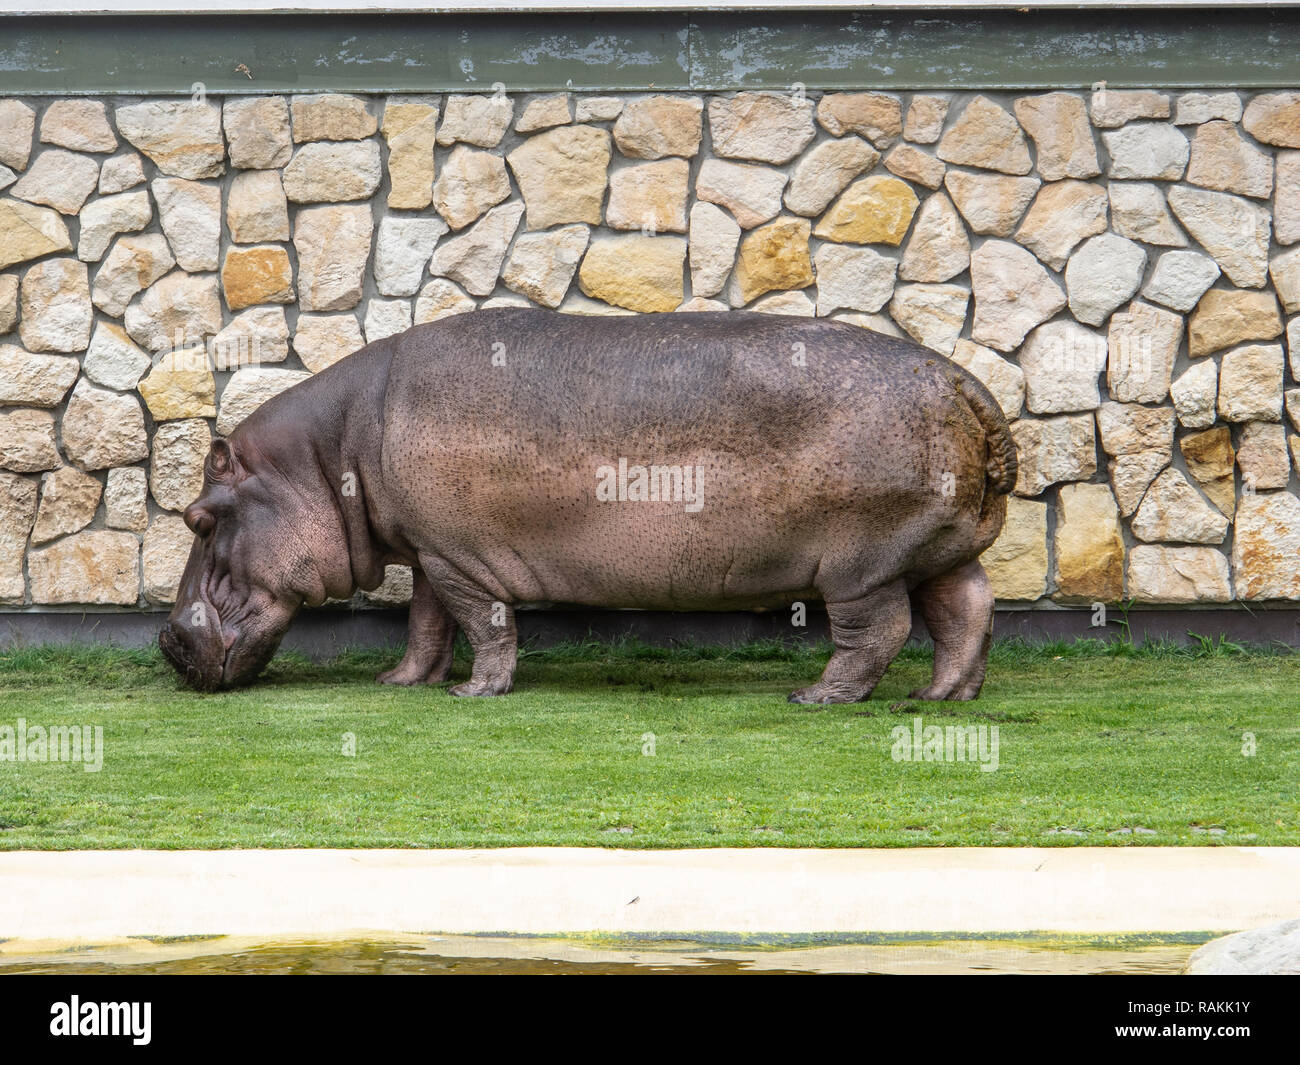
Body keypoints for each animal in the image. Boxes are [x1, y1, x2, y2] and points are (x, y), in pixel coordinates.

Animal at [159, 308, 1016, 704]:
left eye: (198, 518)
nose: (166, 640)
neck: (325, 456)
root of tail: (963, 380)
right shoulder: (433, 551)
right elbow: (428, 624)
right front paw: (400, 683)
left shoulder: (459, 559)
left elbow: (484, 625)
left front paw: (474, 693)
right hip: (936, 549)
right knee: (968, 610)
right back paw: (943, 697)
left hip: (860, 565)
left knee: (880, 630)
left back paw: (814, 697)